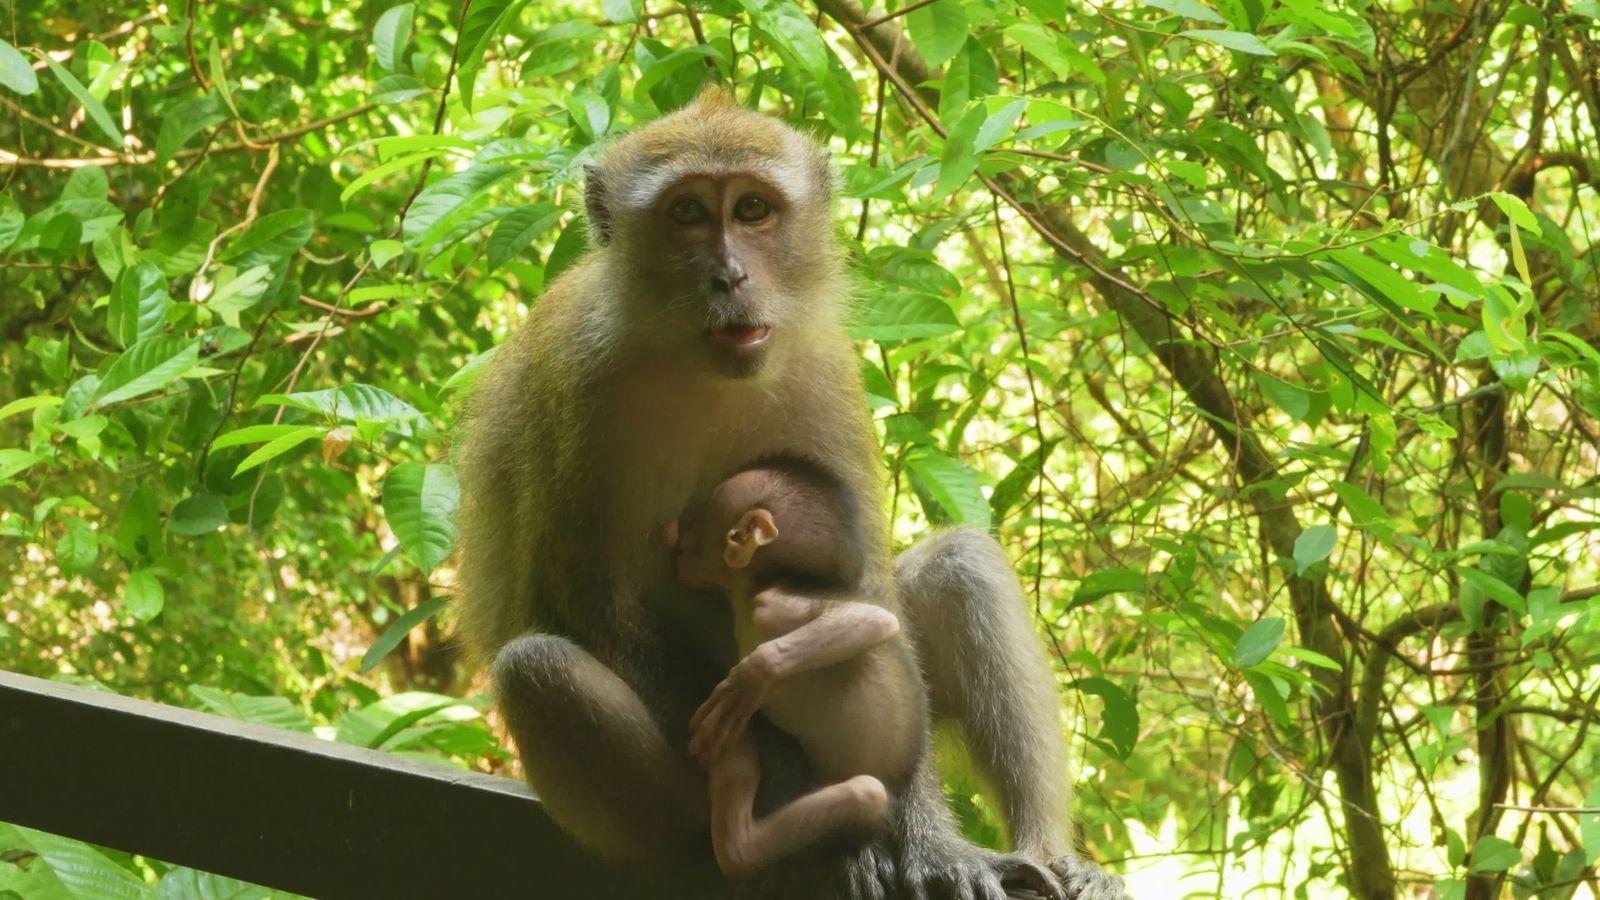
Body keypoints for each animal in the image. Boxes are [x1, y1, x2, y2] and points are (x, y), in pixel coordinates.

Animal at [664, 458, 926, 879]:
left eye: (701, 516)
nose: (677, 535)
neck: (744, 597)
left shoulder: (774, 604)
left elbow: (877, 622)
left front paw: (750, 677)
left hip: (868, 798)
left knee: (865, 794)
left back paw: (735, 811)